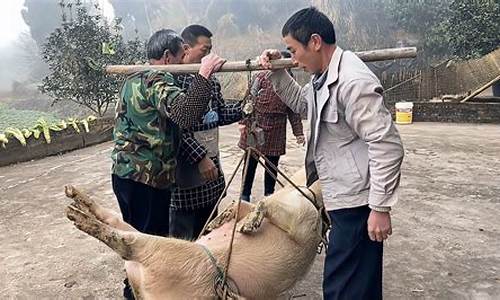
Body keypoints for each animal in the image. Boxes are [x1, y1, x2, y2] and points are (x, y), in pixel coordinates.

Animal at [65, 171, 324, 300]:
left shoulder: (305, 221)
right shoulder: (301, 213)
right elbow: (250, 205)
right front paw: (225, 223)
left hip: (171, 255)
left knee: (126, 241)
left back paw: (76, 214)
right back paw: (73, 197)